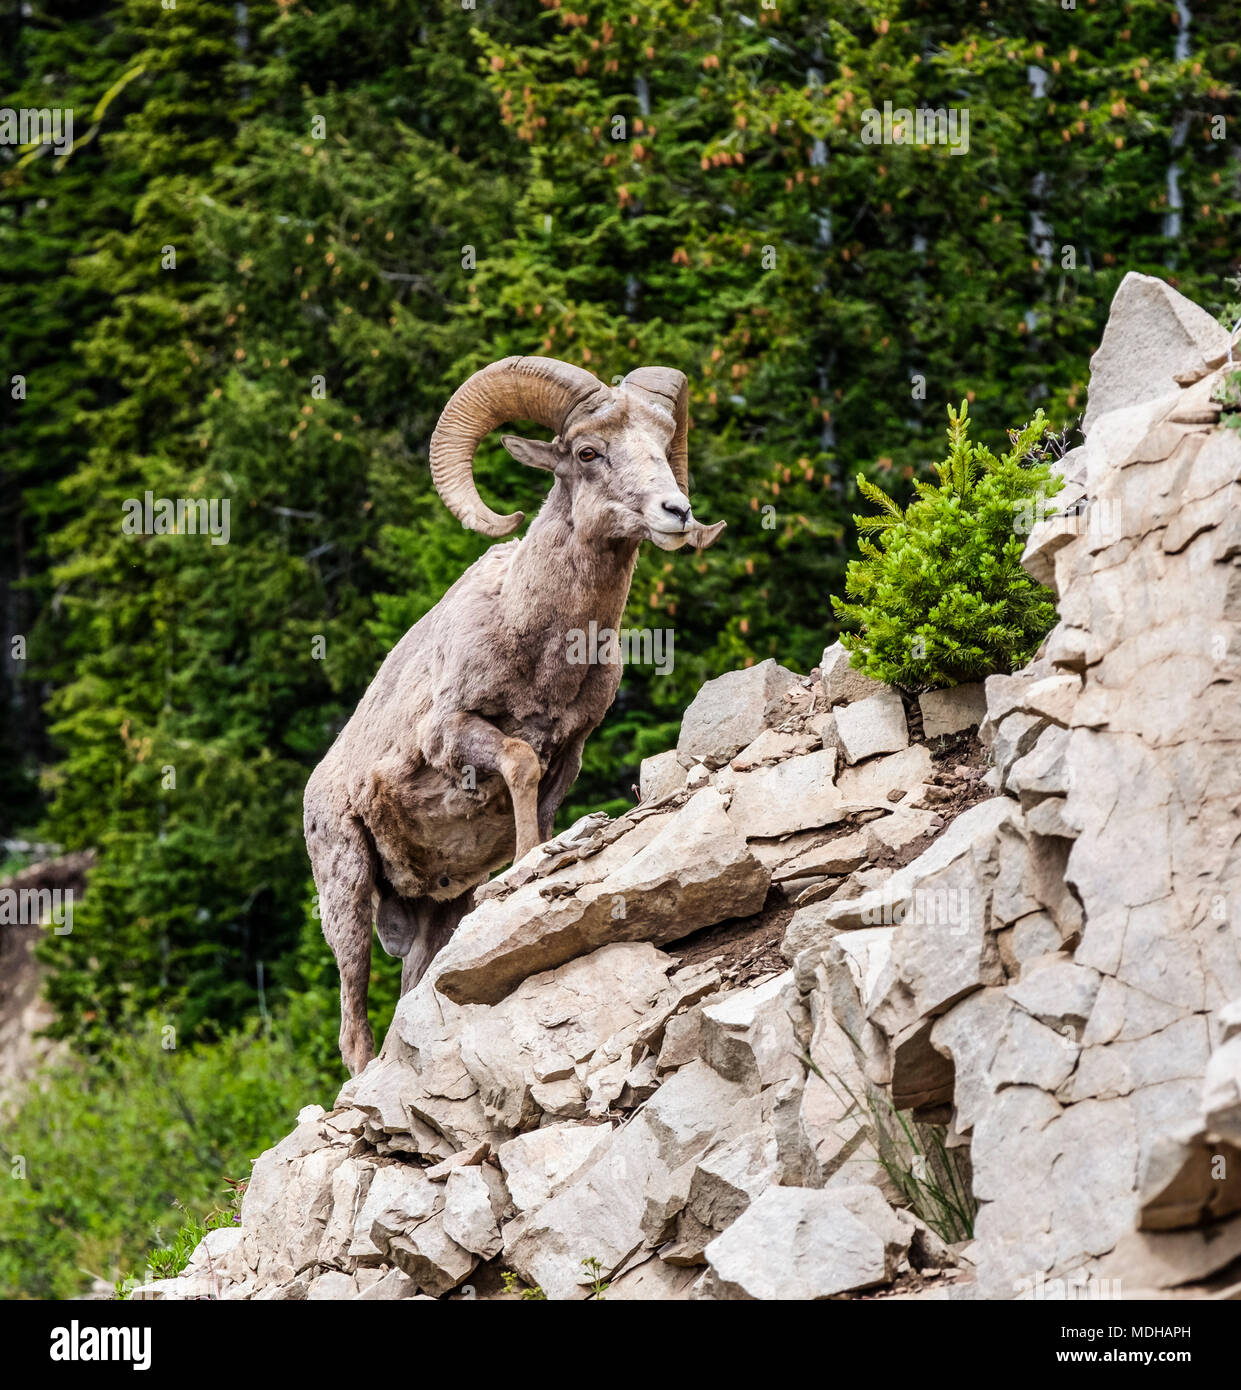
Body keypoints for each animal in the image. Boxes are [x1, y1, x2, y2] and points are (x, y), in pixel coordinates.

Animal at [304, 355, 725, 1074]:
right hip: (347, 892)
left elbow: (545, 803)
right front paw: (527, 861)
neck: (537, 636)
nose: (676, 512)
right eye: (587, 452)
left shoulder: (572, 752)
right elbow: (519, 762)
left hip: (438, 910)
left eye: (662, 441)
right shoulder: (456, 736)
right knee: (354, 1033)